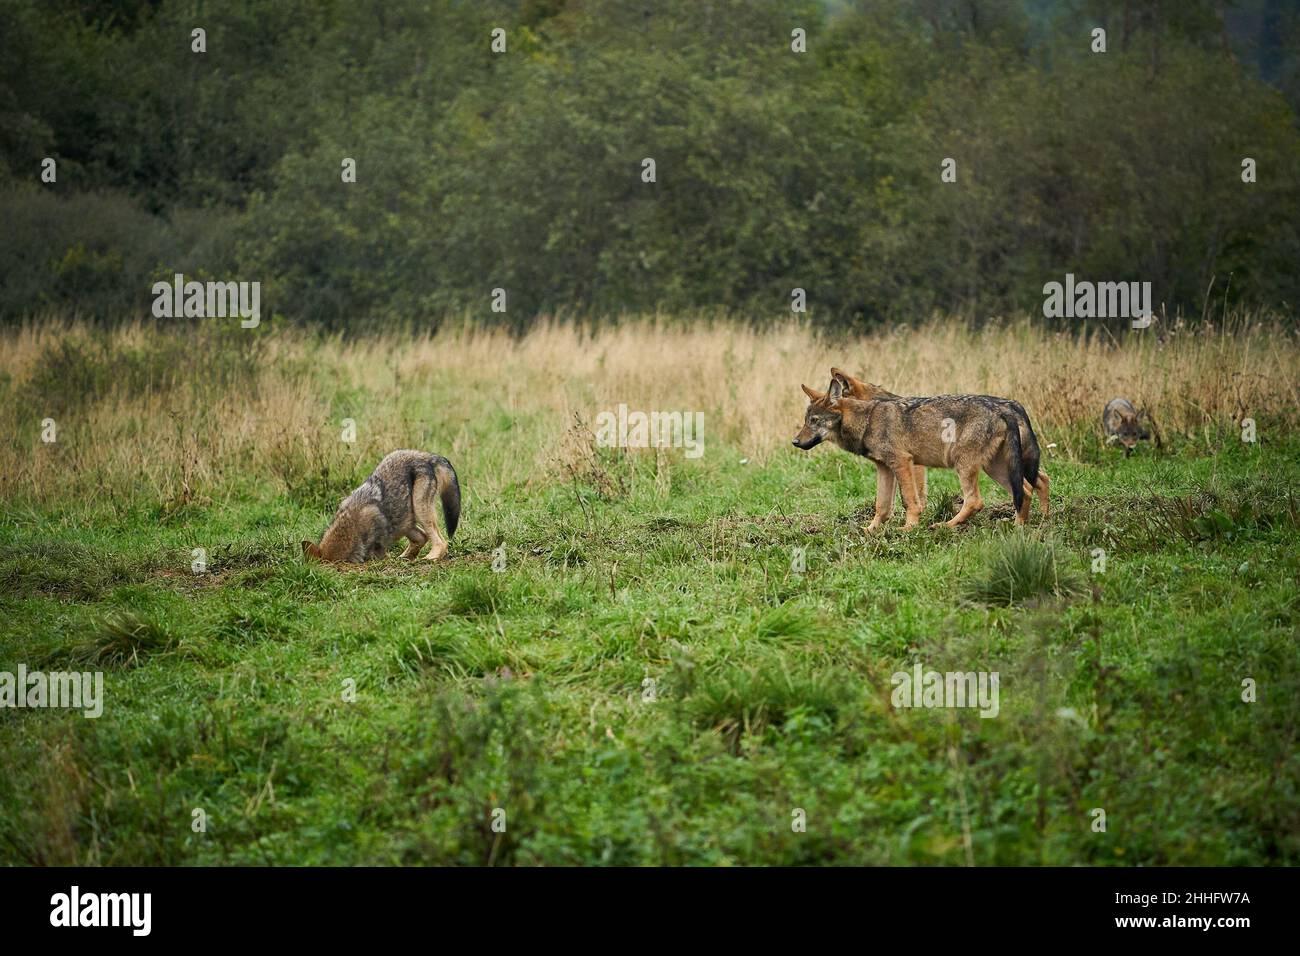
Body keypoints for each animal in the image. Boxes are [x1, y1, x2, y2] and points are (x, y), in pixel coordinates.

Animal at [301, 450, 460, 563]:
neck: (350, 528)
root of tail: (425, 456)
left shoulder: (379, 547)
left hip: (419, 510)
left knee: (441, 542)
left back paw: (430, 558)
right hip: (405, 522)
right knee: (422, 537)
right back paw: (404, 558)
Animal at [793, 377, 1028, 529]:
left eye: (814, 421)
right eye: (806, 421)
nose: (794, 442)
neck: (867, 421)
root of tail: (1003, 409)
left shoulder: (903, 462)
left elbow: (909, 501)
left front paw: (909, 528)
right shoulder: (884, 468)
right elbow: (882, 506)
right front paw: (870, 530)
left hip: (964, 465)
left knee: (975, 501)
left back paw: (945, 525)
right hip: (994, 468)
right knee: (1025, 491)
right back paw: (1019, 527)